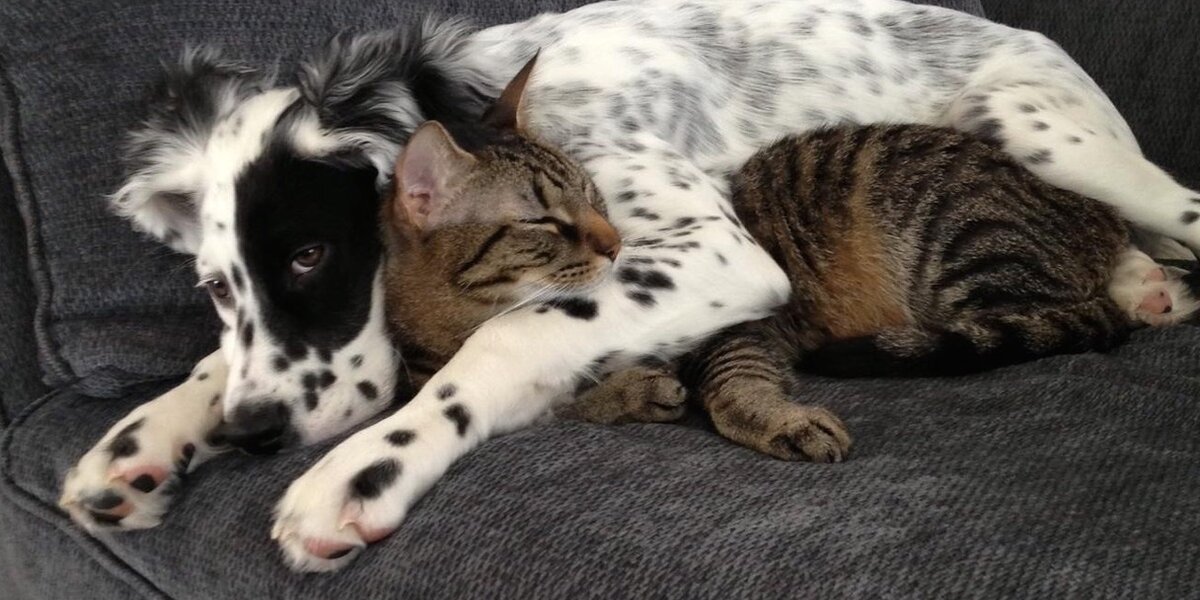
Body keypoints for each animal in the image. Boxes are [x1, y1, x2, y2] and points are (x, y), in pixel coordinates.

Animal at [58, 0, 1200, 571]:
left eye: (310, 257)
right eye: (215, 285)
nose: (253, 437)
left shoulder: (717, 252)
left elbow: (512, 336)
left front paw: (363, 474)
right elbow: (218, 366)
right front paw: (145, 439)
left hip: (1040, 133)